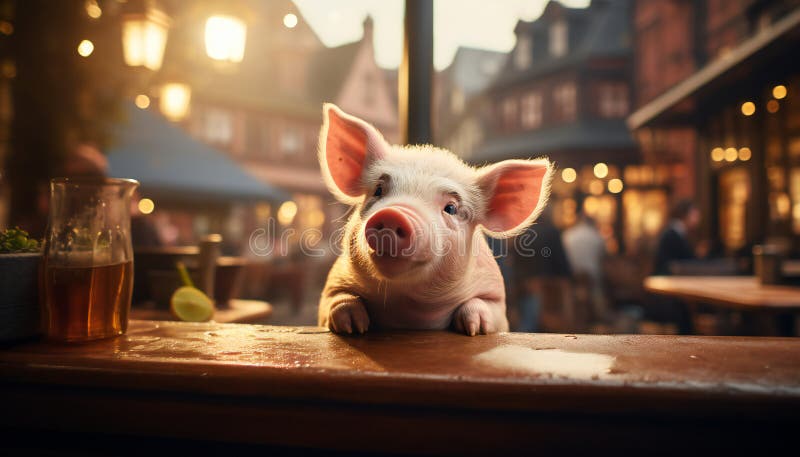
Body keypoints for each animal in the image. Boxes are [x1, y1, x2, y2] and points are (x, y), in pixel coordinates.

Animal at [317, 104, 553, 336]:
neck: (406, 311)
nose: (393, 214)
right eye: (378, 190)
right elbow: (336, 299)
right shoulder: (335, 279)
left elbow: (485, 307)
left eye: (451, 208)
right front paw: (353, 327)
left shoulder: (496, 296)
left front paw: (475, 328)